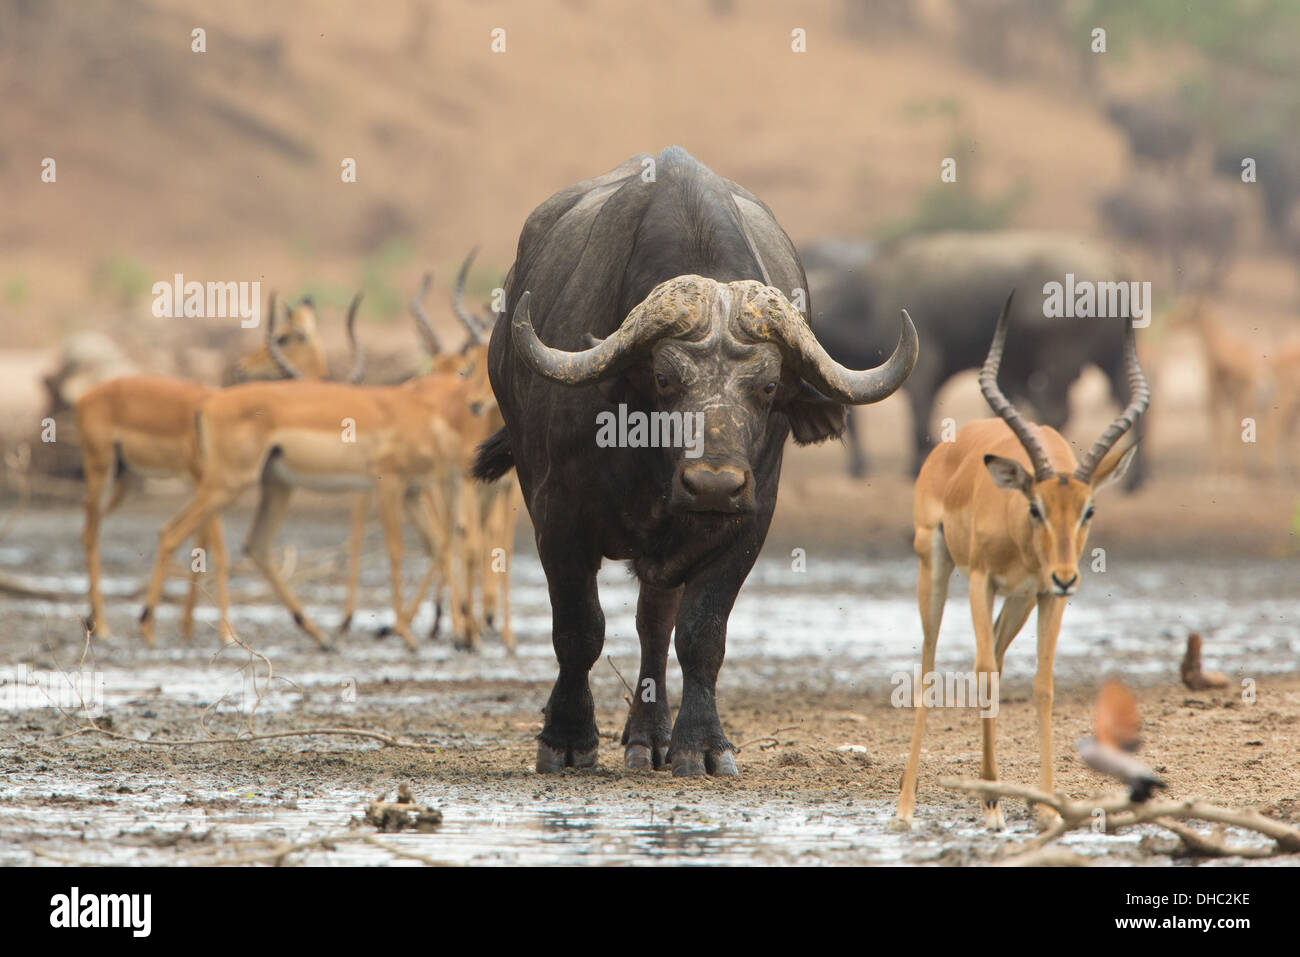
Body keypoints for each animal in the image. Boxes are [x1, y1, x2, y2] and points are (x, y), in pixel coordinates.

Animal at [473, 147, 917, 775]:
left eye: (769, 386)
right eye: (664, 377)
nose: (711, 486)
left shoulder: (749, 521)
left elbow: (701, 634)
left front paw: (701, 744)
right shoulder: (555, 514)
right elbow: (579, 629)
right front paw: (567, 738)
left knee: (654, 623)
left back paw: (649, 736)